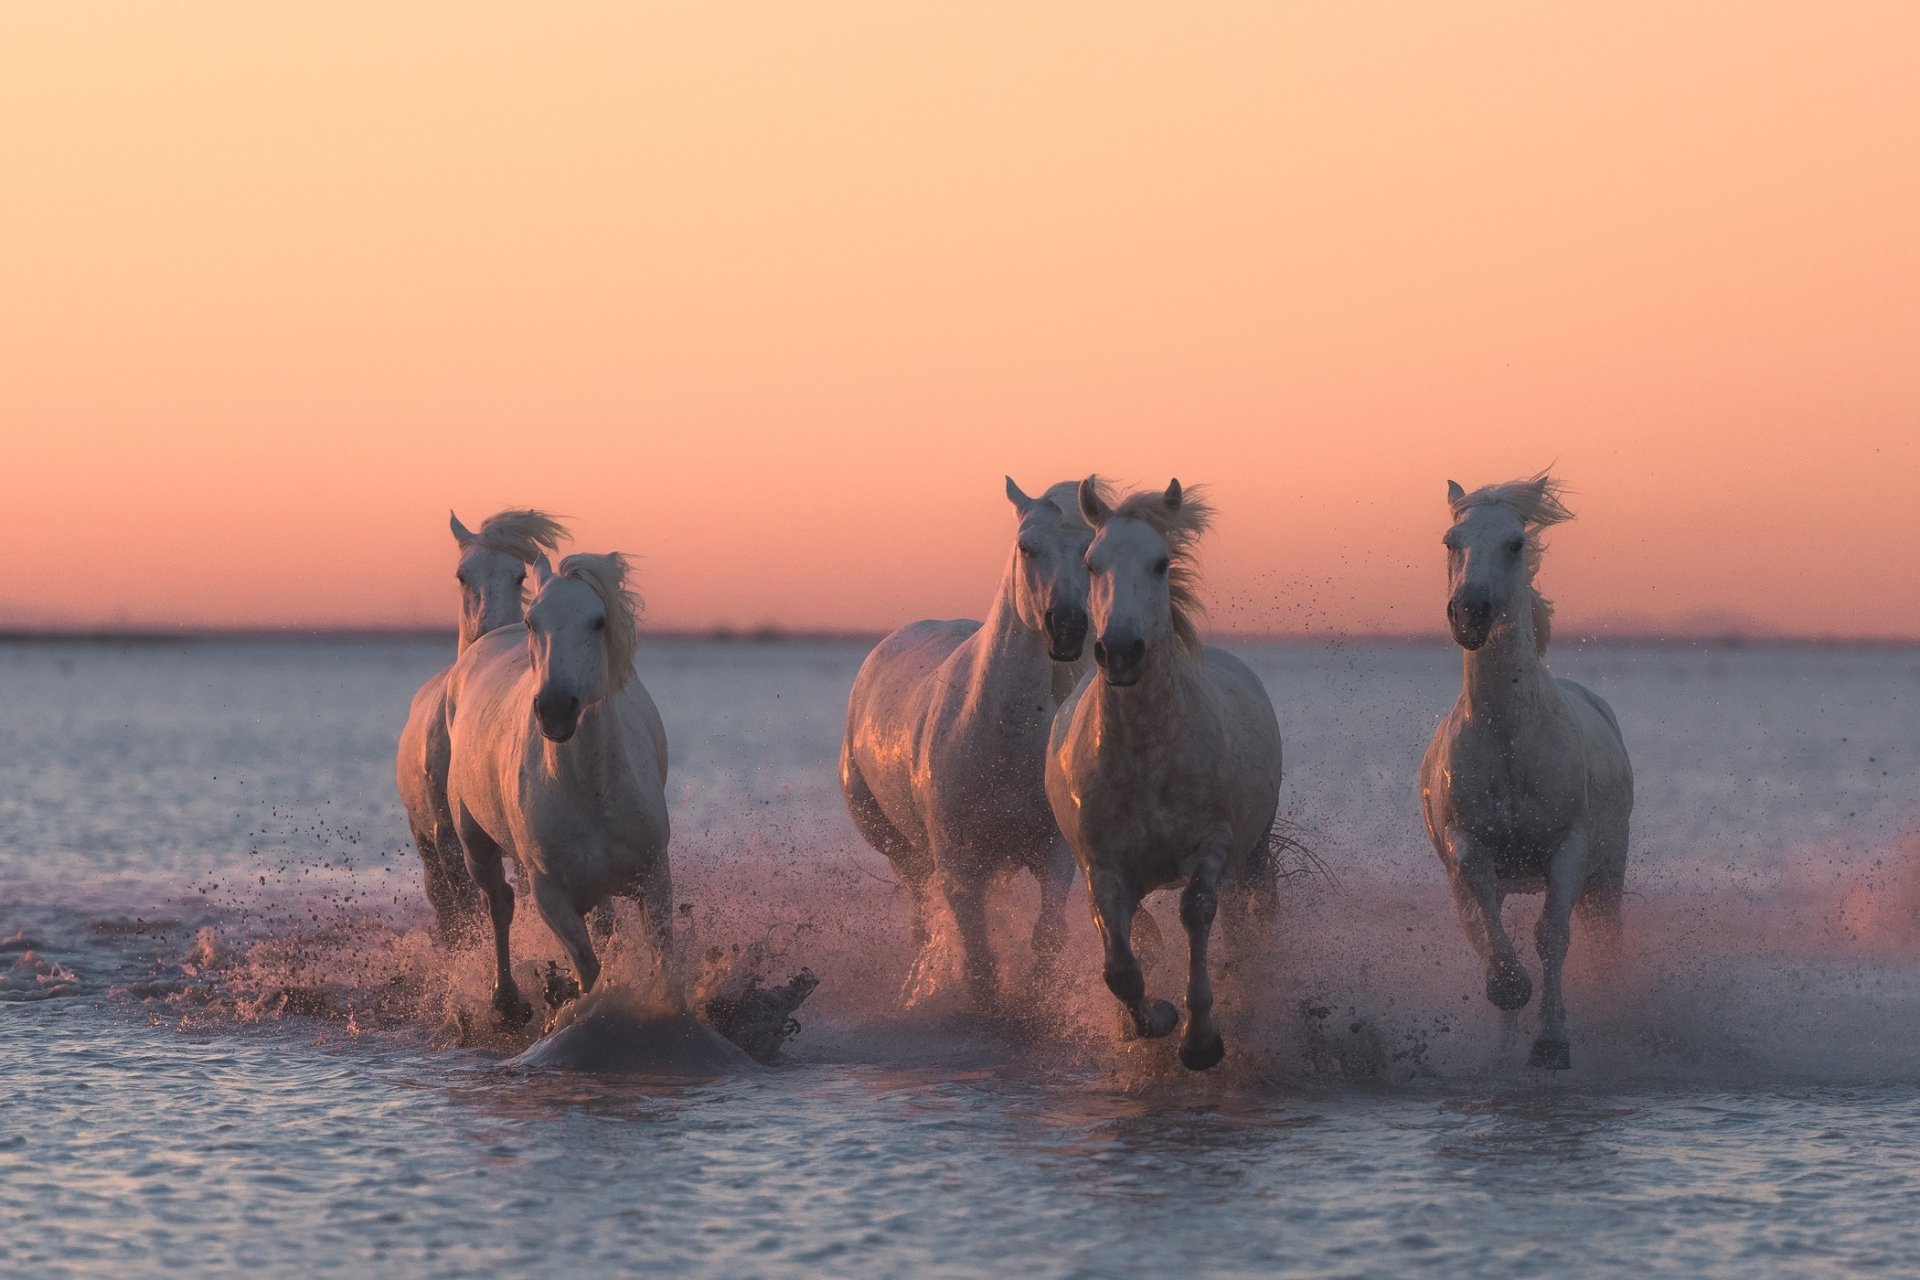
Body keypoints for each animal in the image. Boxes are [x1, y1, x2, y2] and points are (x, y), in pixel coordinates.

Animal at [395, 509, 567, 944]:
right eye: (461, 575)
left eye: (519, 576)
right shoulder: (446, 837)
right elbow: (465, 912)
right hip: (423, 840)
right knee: (442, 903)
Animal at [443, 551, 672, 1025]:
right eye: (534, 622)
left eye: (598, 621)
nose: (554, 709)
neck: (593, 791)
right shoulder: (550, 894)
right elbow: (589, 967)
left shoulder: (655, 874)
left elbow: (661, 956)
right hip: (475, 844)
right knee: (499, 903)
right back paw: (506, 1000)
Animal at [840, 476, 1100, 1009]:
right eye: (1026, 547)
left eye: (1091, 552)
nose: (1066, 627)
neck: (1003, 734)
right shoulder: (960, 864)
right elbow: (978, 960)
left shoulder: (1053, 854)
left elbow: (1045, 938)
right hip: (900, 849)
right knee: (922, 921)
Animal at [1045, 479, 1283, 1071]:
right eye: (1092, 562)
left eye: (1160, 563)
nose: (1120, 652)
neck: (1146, 759)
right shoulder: (1102, 867)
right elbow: (1120, 966)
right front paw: (1151, 1022)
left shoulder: (1212, 846)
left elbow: (1196, 916)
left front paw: (1201, 1040)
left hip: (1253, 855)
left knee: (1248, 924)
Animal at [1419, 472, 1634, 1070]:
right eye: (1450, 541)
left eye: (1515, 543)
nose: (1470, 613)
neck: (1510, 738)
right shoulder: (1466, 843)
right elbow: (1488, 932)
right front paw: (1509, 990)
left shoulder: (1570, 846)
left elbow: (1551, 939)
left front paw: (1552, 1042)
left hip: (1607, 874)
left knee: (1603, 938)